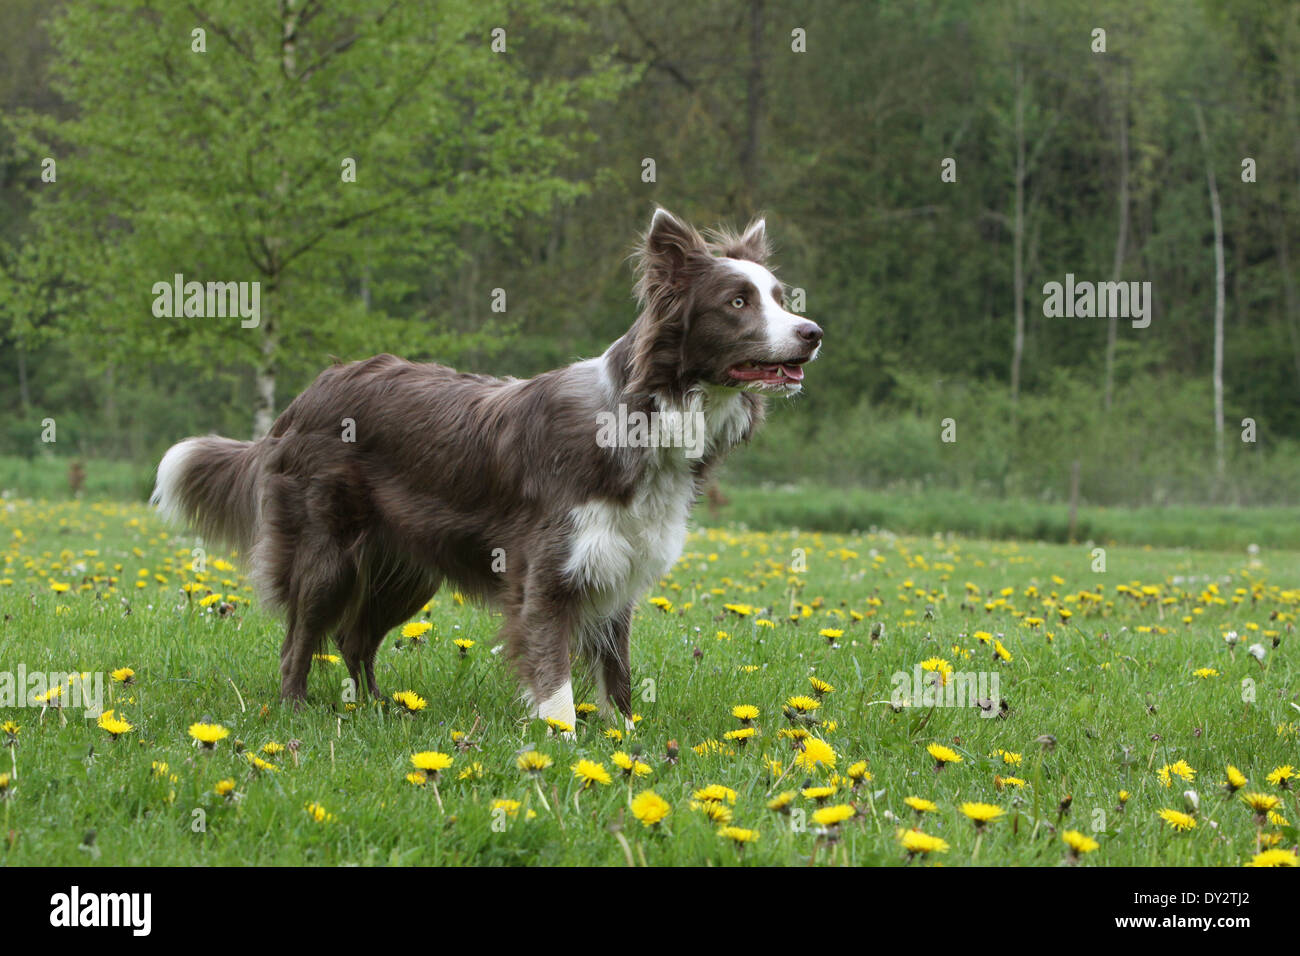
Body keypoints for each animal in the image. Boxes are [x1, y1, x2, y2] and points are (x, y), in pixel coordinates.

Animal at [152, 209, 821, 728]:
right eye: (737, 302)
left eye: (781, 299)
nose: (813, 333)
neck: (646, 413)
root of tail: (303, 396)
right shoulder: (549, 572)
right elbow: (555, 678)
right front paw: (564, 745)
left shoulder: (616, 570)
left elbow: (617, 675)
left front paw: (625, 745)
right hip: (327, 551)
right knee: (301, 637)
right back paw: (296, 713)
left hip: (406, 568)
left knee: (354, 637)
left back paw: (378, 709)